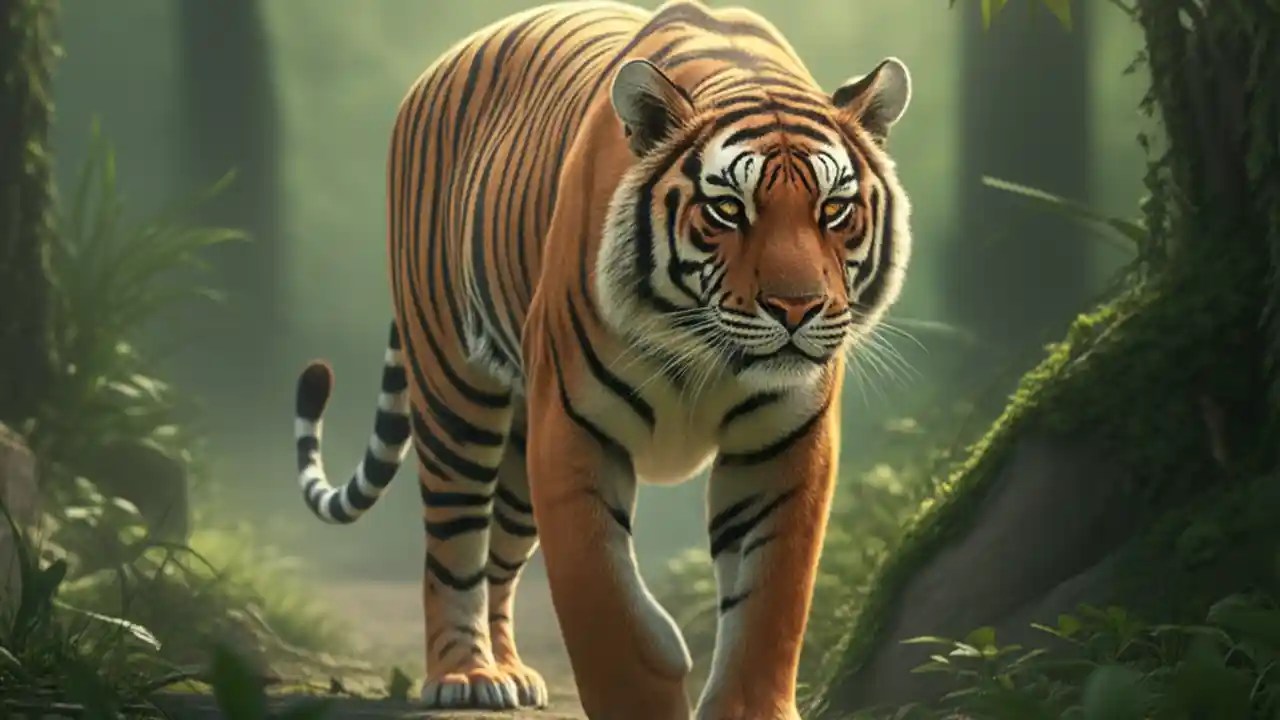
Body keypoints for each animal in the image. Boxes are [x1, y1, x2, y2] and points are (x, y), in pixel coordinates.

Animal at [290, 1, 912, 717]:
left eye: (834, 209)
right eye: (728, 209)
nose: (797, 308)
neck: (704, 350)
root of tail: (440, 63)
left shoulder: (783, 444)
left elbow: (771, 600)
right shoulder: (573, 428)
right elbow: (604, 600)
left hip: (519, 451)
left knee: (500, 555)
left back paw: (507, 669)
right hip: (454, 389)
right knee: (453, 543)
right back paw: (465, 674)